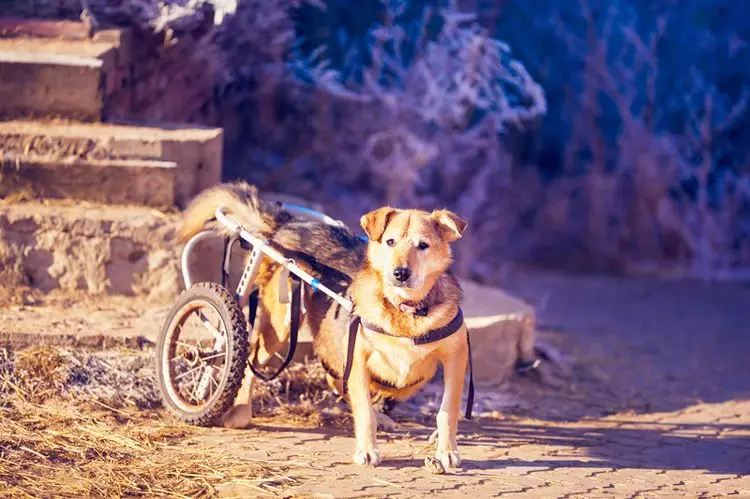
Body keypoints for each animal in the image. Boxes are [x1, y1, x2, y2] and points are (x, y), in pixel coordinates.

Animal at [181, 183, 470, 468]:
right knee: (252, 360)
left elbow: (447, 411)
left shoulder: (456, 358)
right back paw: (240, 410)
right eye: (390, 242)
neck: (406, 310)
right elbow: (364, 411)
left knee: (336, 380)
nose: (400, 273)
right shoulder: (358, 357)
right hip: (280, 323)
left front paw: (446, 451)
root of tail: (289, 223)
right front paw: (367, 449)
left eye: (423, 245)